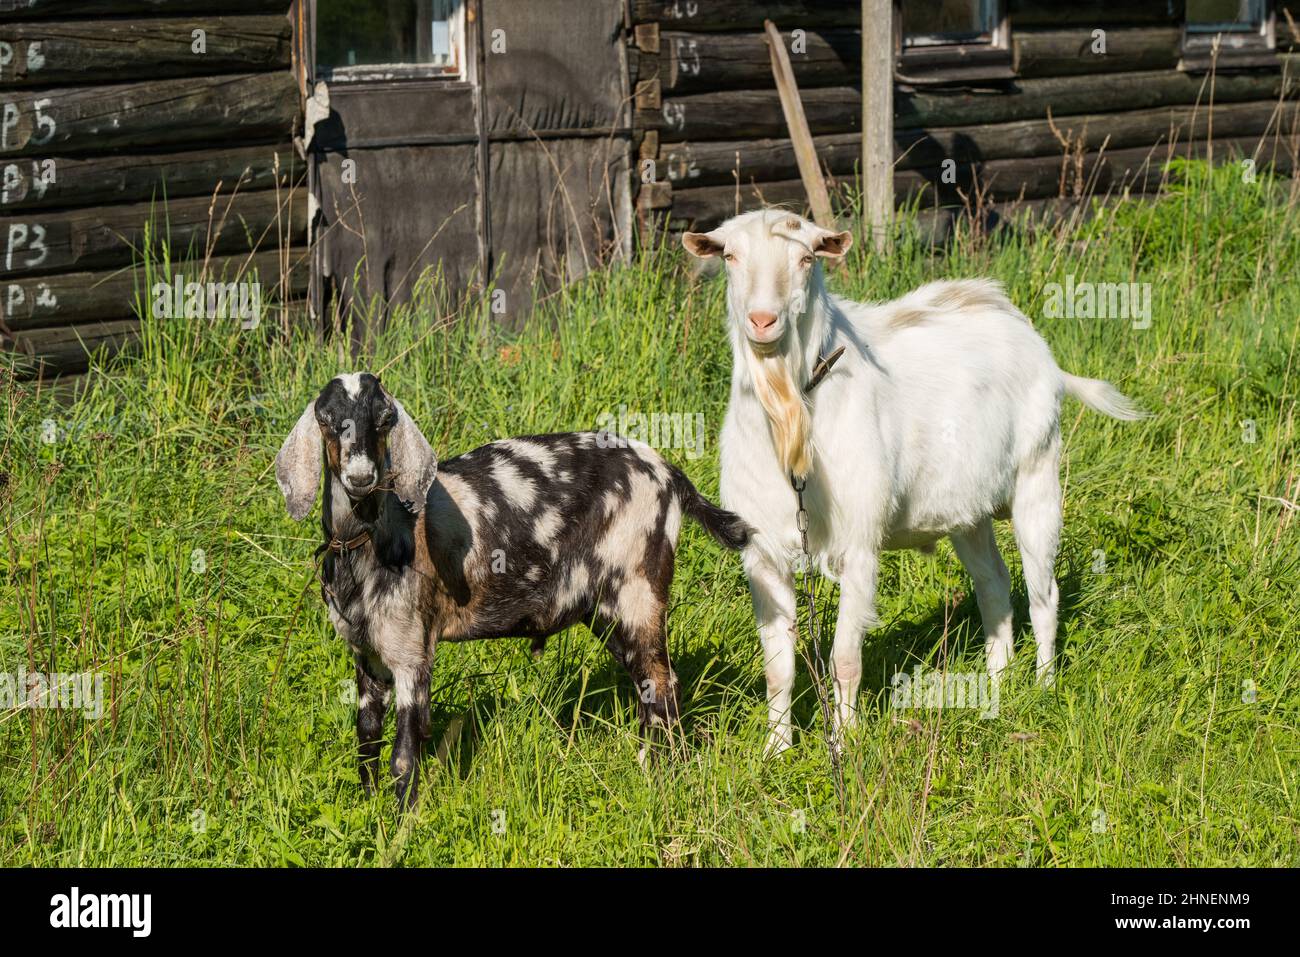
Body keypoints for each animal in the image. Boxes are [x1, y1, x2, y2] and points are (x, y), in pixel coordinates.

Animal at [275, 372, 748, 808]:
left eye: (385, 419)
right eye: (326, 419)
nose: (361, 477)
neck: (375, 537)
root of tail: (667, 472)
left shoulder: (411, 653)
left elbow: (403, 757)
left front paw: (400, 823)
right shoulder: (367, 655)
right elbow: (367, 739)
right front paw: (369, 809)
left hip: (638, 590)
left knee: (663, 686)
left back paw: (665, 777)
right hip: (605, 609)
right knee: (648, 687)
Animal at [683, 209, 1144, 755]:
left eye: (806, 259)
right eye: (730, 257)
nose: (762, 320)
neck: (791, 415)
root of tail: (1032, 340)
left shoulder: (860, 545)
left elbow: (844, 659)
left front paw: (846, 745)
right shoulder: (762, 553)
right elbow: (777, 668)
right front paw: (777, 750)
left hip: (1038, 477)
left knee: (1043, 594)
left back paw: (1043, 686)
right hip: (968, 512)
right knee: (994, 583)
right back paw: (997, 681)